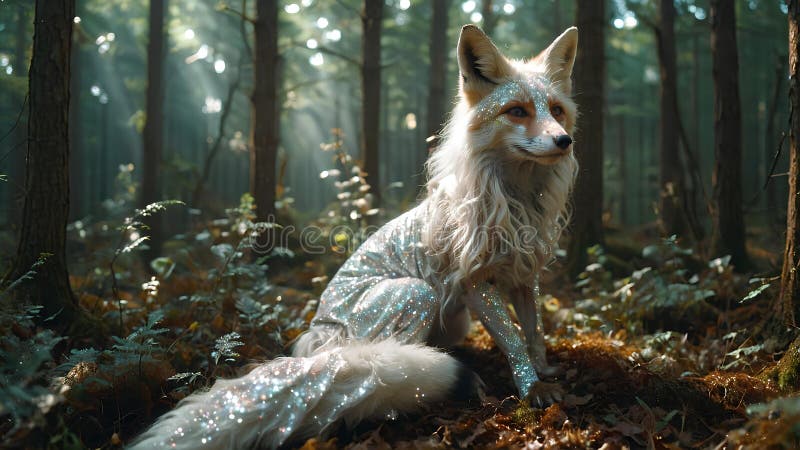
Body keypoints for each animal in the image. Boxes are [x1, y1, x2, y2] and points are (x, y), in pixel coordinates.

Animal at [130, 24, 579, 449]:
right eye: (516, 111)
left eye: (557, 110)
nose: (564, 140)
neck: (518, 202)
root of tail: (315, 336)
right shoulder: (475, 282)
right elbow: (514, 341)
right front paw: (531, 387)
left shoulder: (525, 275)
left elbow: (534, 332)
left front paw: (544, 371)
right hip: (416, 295)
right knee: (386, 360)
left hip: (452, 320)